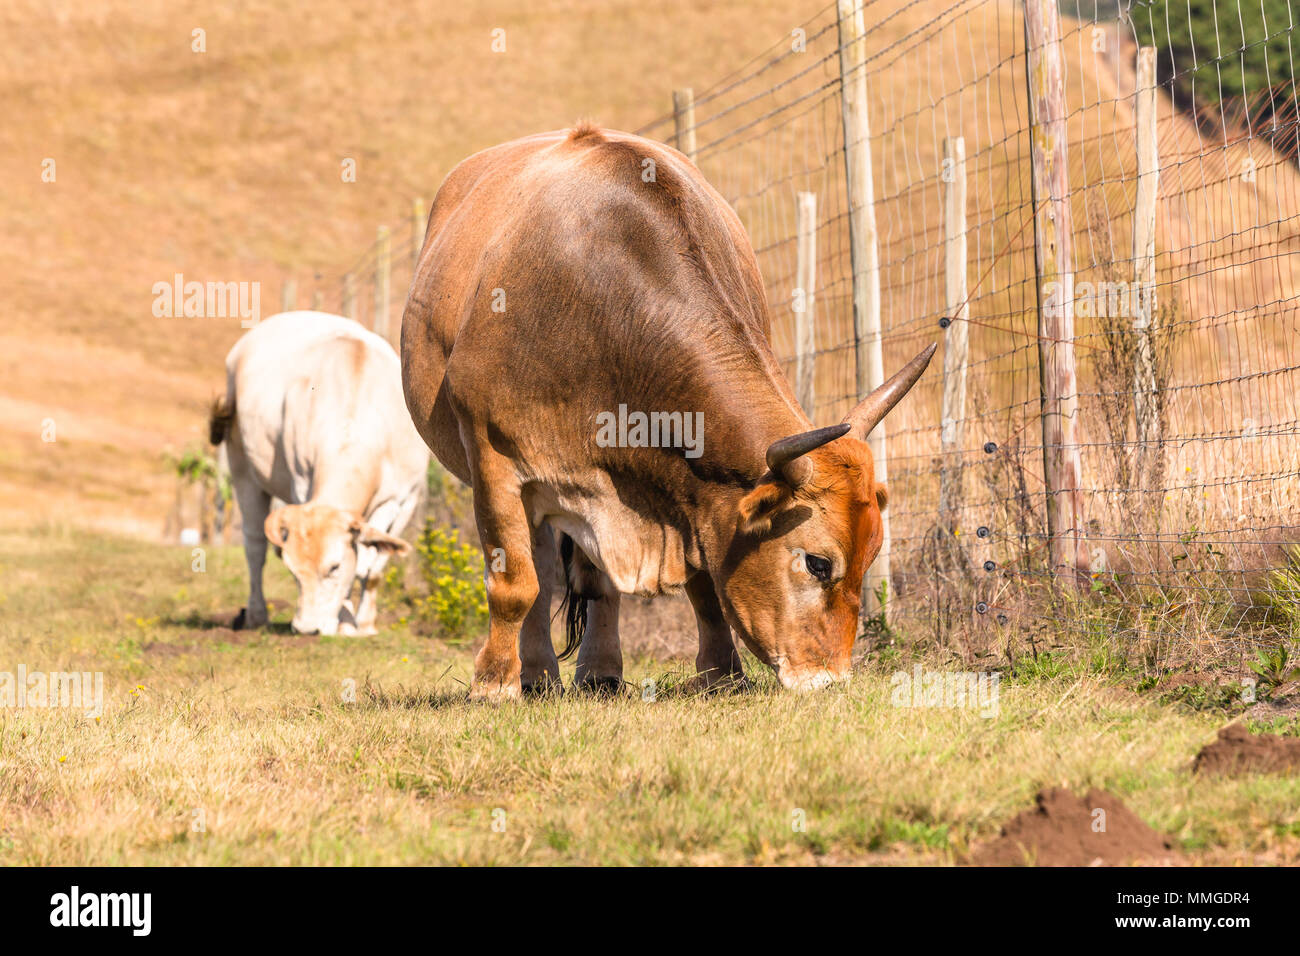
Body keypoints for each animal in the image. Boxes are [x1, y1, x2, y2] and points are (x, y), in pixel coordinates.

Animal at [210, 311, 429, 636]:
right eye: (293, 572)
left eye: (334, 567)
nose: (306, 629)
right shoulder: (302, 484)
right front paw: (344, 620)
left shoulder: (404, 500)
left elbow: (372, 565)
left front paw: (363, 623)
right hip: (242, 471)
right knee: (254, 547)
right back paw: (257, 614)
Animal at [401, 124, 934, 698]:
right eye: (816, 562)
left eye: (871, 557)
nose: (830, 679)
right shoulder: (493, 459)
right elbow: (515, 583)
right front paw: (494, 683)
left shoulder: (686, 496)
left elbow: (703, 584)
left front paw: (723, 672)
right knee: (539, 574)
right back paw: (537, 674)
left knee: (596, 582)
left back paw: (600, 671)